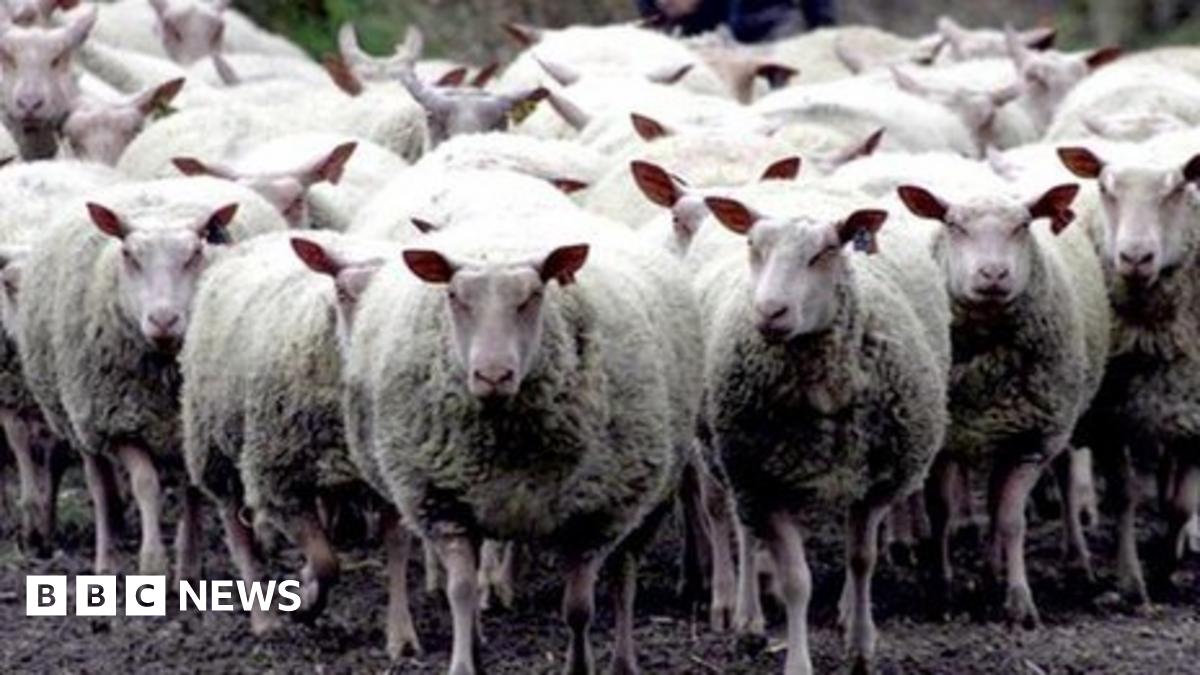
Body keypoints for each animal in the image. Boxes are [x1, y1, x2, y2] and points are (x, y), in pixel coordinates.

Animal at [16, 176, 286, 576]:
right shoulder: (119, 424)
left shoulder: (188, 430)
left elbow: (192, 489)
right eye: (129, 254)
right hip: (80, 417)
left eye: (195, 253)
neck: (163, 373)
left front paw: (187, 565)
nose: (163, 320)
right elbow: (146, 485)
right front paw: (152, 563)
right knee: (100, 486)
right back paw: (106, 561)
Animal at [346, 210, 699, 674]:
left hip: (643, 499)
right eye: (454, 296)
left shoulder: (594, 515)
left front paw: (578, 667)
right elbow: (461, 592)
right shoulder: (443, 503)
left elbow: (579, 608)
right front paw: (464, 663)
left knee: (624, 577)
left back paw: (624, 661)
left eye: (532, 295)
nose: (492, 375)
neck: (504, 435)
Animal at [694, 184, 948, 673]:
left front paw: (861, 647)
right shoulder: (764, 483)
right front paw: (798, 662)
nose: (770, 312)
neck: (823, 395)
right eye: (753, 246)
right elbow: (797, 581)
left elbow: (862, 559)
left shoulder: (876, 482)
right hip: (732, 461)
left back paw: (845, 612)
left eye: (825, 252)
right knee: (744, 531)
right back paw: (748, 622)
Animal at [1055, 131, 1200, 607]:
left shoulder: (1192, 409)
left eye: (1178, 189)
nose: (1136, 257)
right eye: (1105, 188)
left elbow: (1179, 505)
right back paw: (1078, 562)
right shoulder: (1106, 413)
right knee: (1064, 475)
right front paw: (1131, 581)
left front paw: (1166, 570)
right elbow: (1123, 496)